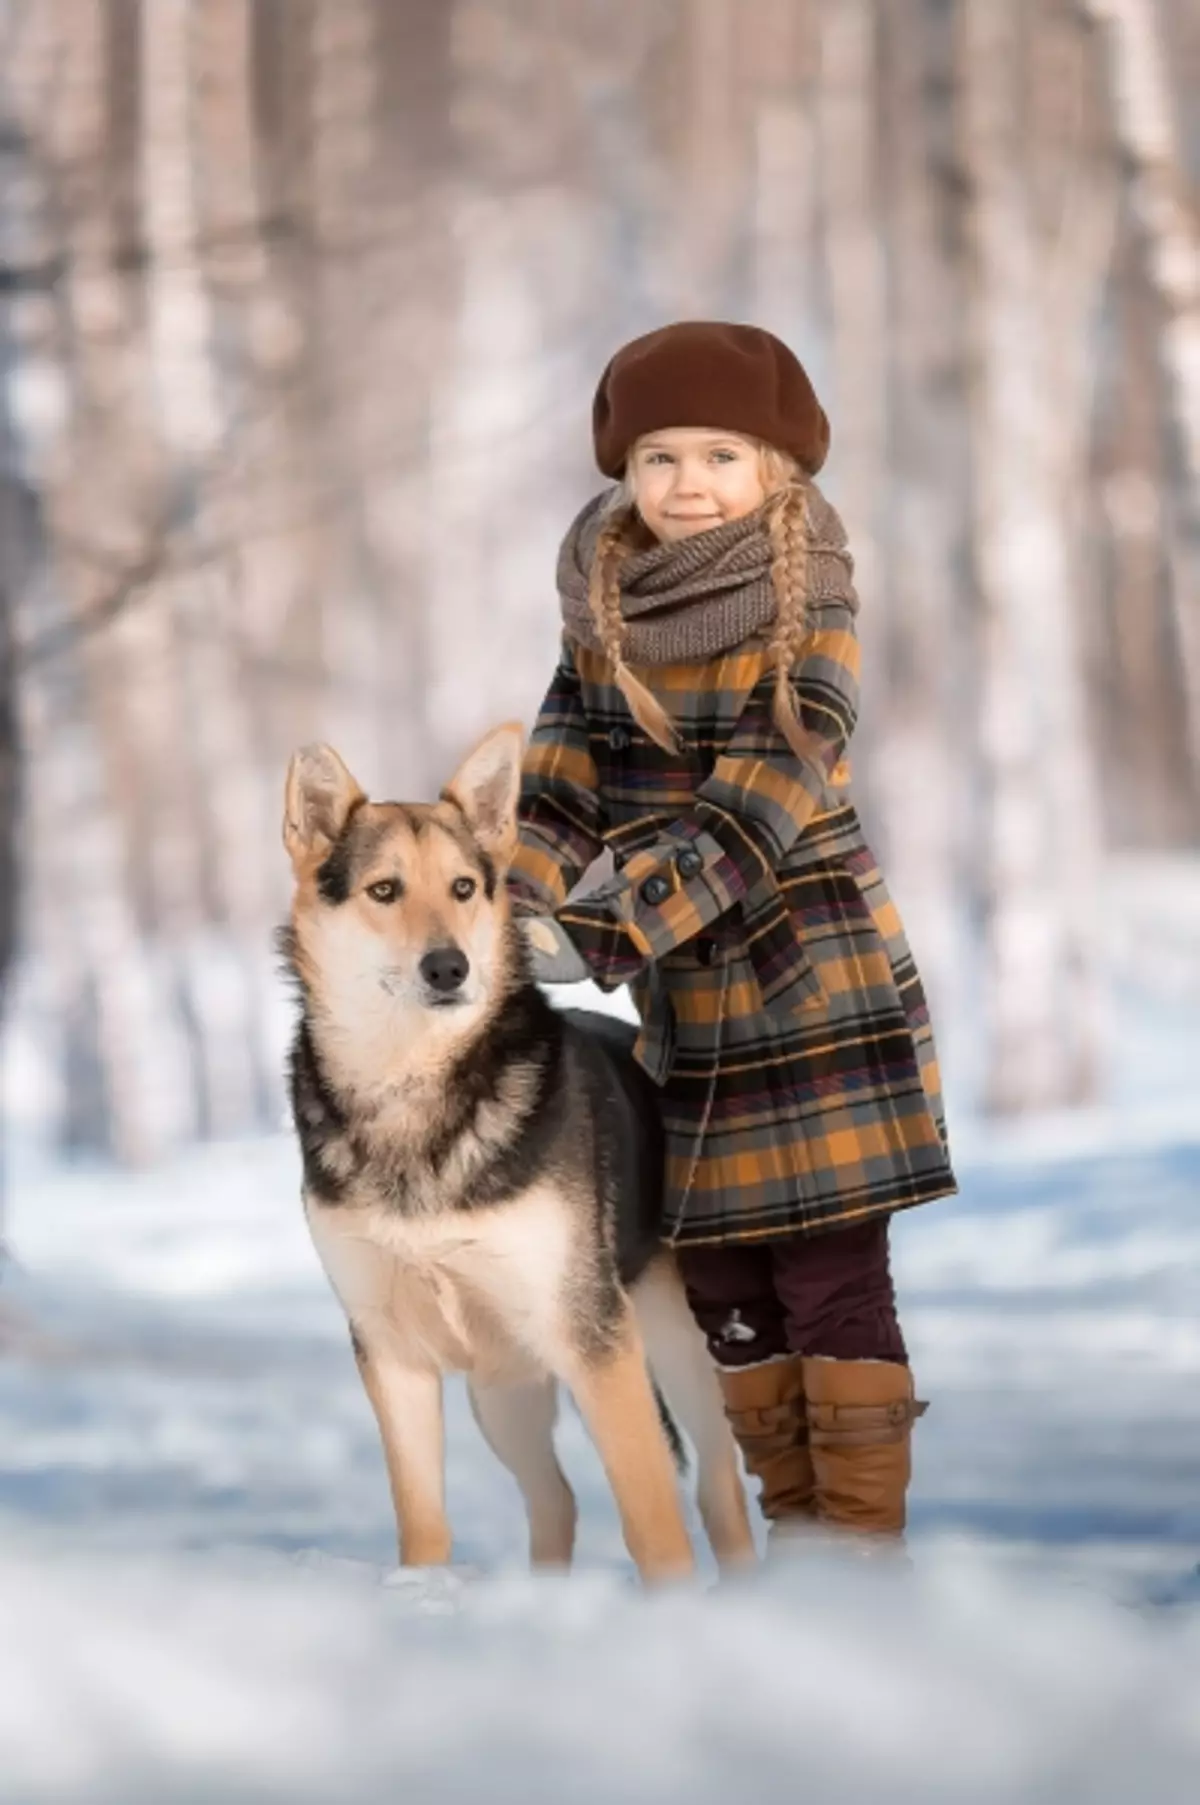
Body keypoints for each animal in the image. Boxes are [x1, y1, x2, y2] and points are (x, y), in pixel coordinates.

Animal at [277, 718, 754, 1581]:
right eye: (384, 891)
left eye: (465, 887)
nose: (449, 966)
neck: (413, 1087)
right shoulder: (390, 1349)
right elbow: (423, 1524)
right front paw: (423, 1597)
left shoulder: (595, 1338)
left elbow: (654, 1525)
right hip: (500, 1381)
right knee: (554, 1498)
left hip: (674, 1346)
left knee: (716, 1492)